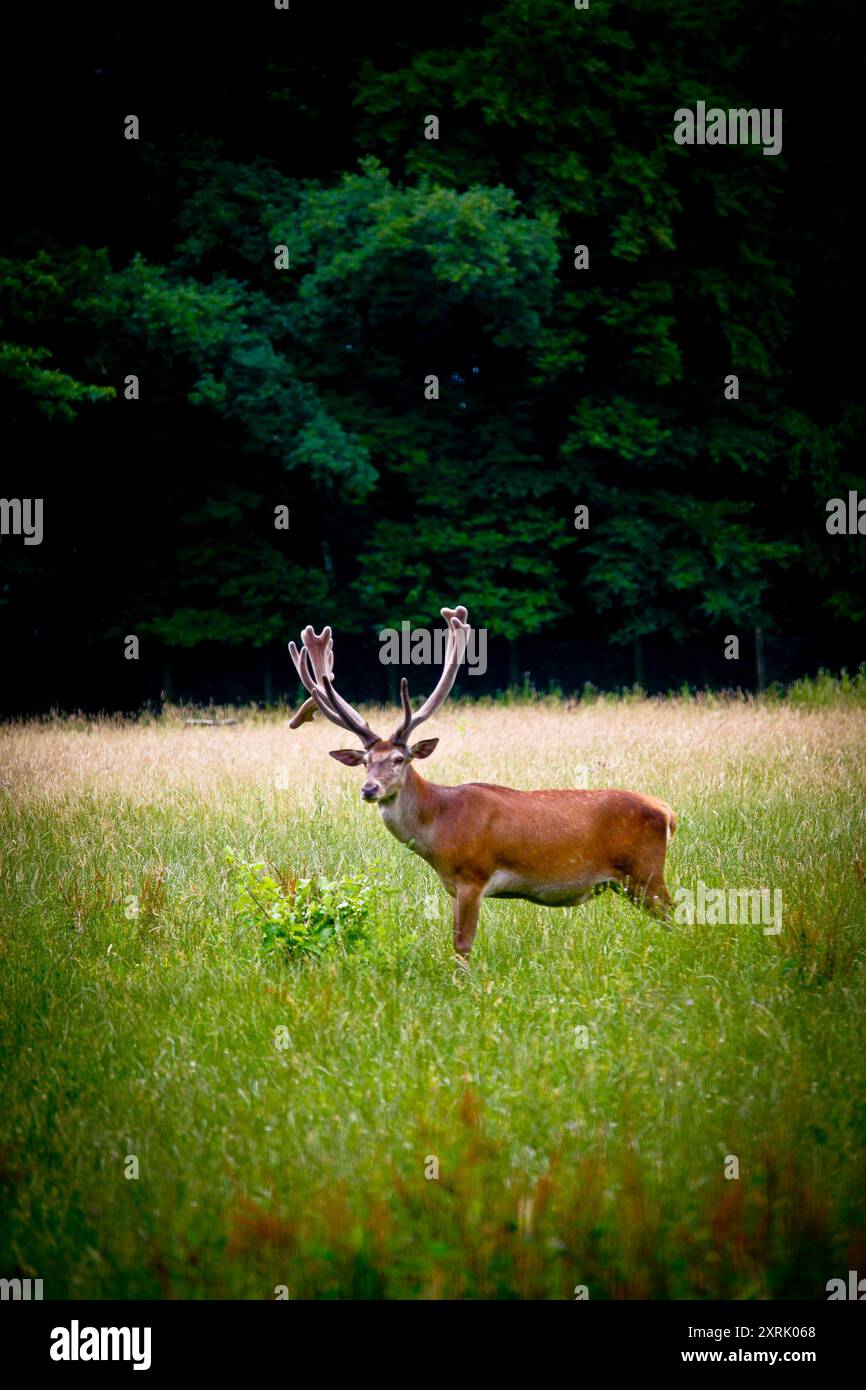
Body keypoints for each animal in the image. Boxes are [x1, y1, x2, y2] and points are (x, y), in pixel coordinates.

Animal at [288, 605, 677, 960]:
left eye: (399, 759)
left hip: (645, 872)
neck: (438, 827)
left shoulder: (472, 875)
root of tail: (667, 813)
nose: (369, 789)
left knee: (674, 915)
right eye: (366, 762)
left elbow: (462, 946)